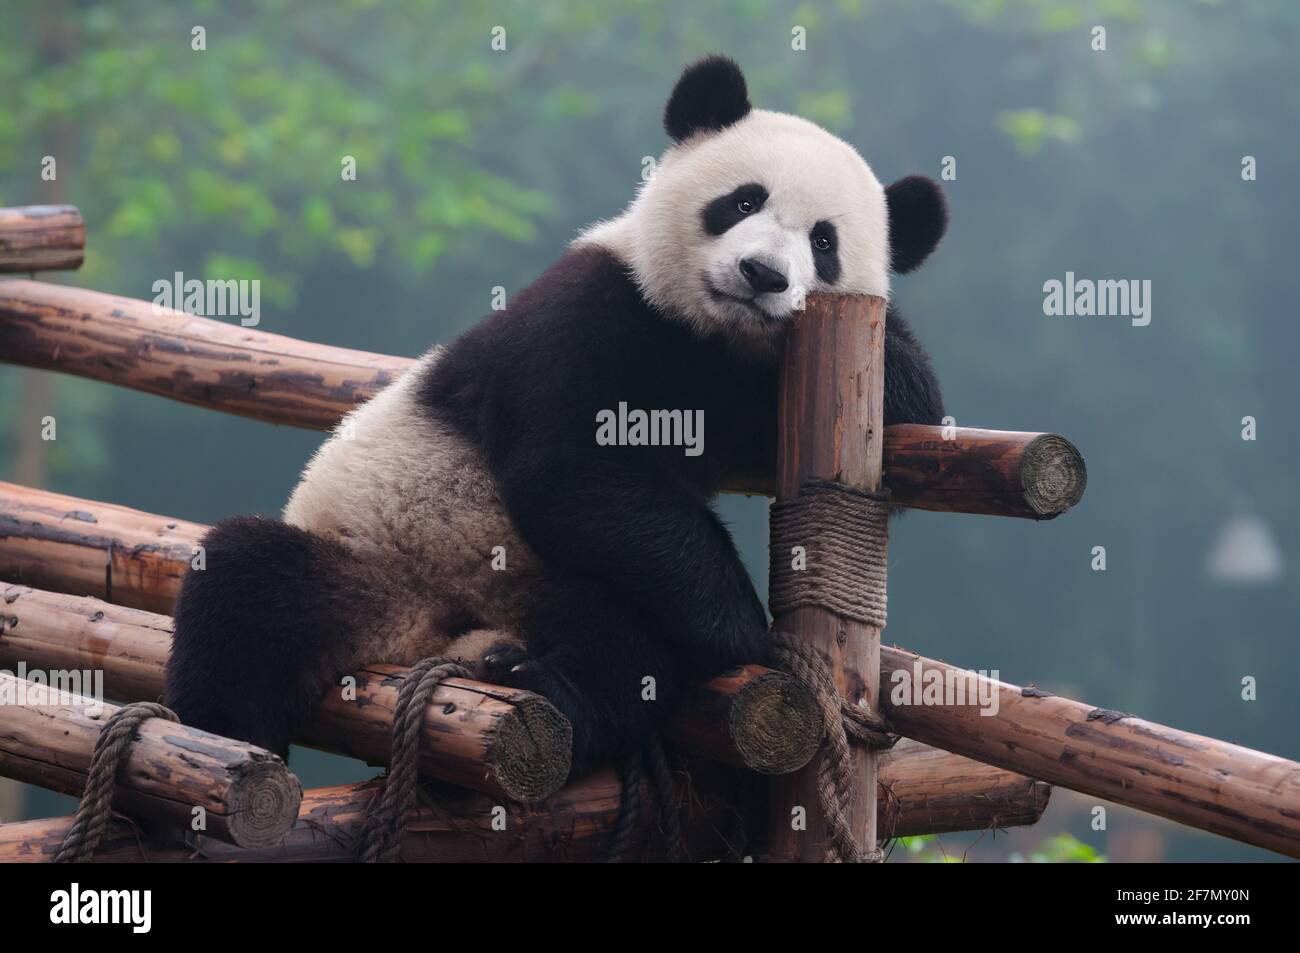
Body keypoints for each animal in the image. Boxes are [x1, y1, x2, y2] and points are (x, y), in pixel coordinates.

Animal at [166, 55, 948, 777]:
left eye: (824, 242)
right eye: (742, 200)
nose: (763, 275)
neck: (709, 335)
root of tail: (431, 635)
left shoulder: (757, 387)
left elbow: (916, 405)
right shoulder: (588, 309)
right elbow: (569, 470)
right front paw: (744, 633)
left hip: (555, 586)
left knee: (632, 650)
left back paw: (547, 683)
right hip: (373, 561)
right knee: (245, 592)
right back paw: (226, 749)